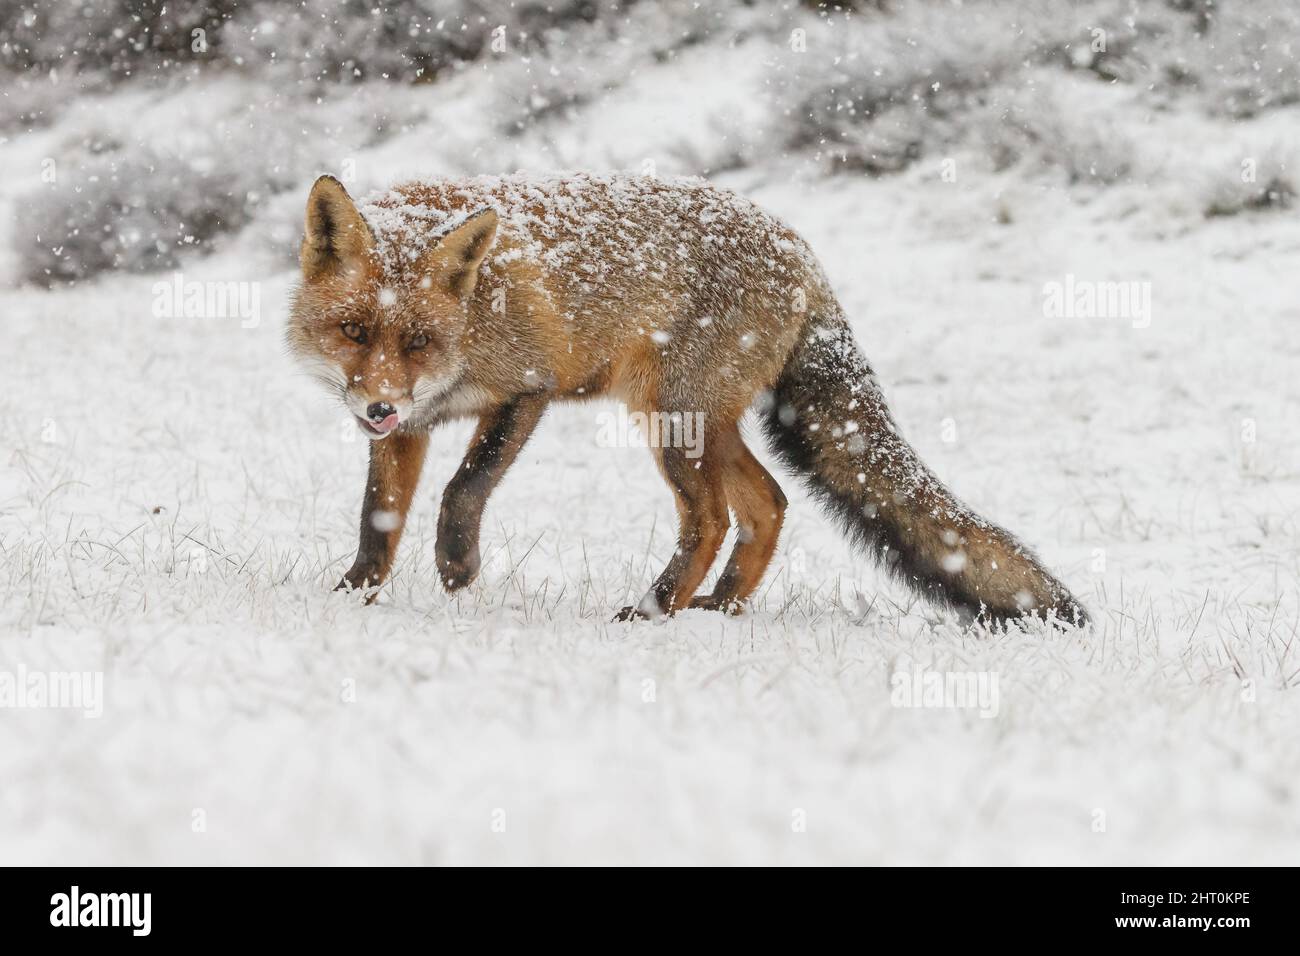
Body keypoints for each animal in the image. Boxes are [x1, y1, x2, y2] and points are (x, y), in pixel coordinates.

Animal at [287, 172, 1087, 627]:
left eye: (419, 339)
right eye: (354, 330)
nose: (378, 407)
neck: (479, 311)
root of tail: (802, 253)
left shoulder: (528, 389)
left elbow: (465, 487)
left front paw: (457, 566)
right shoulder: (410, 426)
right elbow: (378, 517)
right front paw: (353, 593)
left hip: (674, 423)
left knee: (709, 519)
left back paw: (656, 609)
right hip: (701, 422)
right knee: (769, 504)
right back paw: (720, 609)